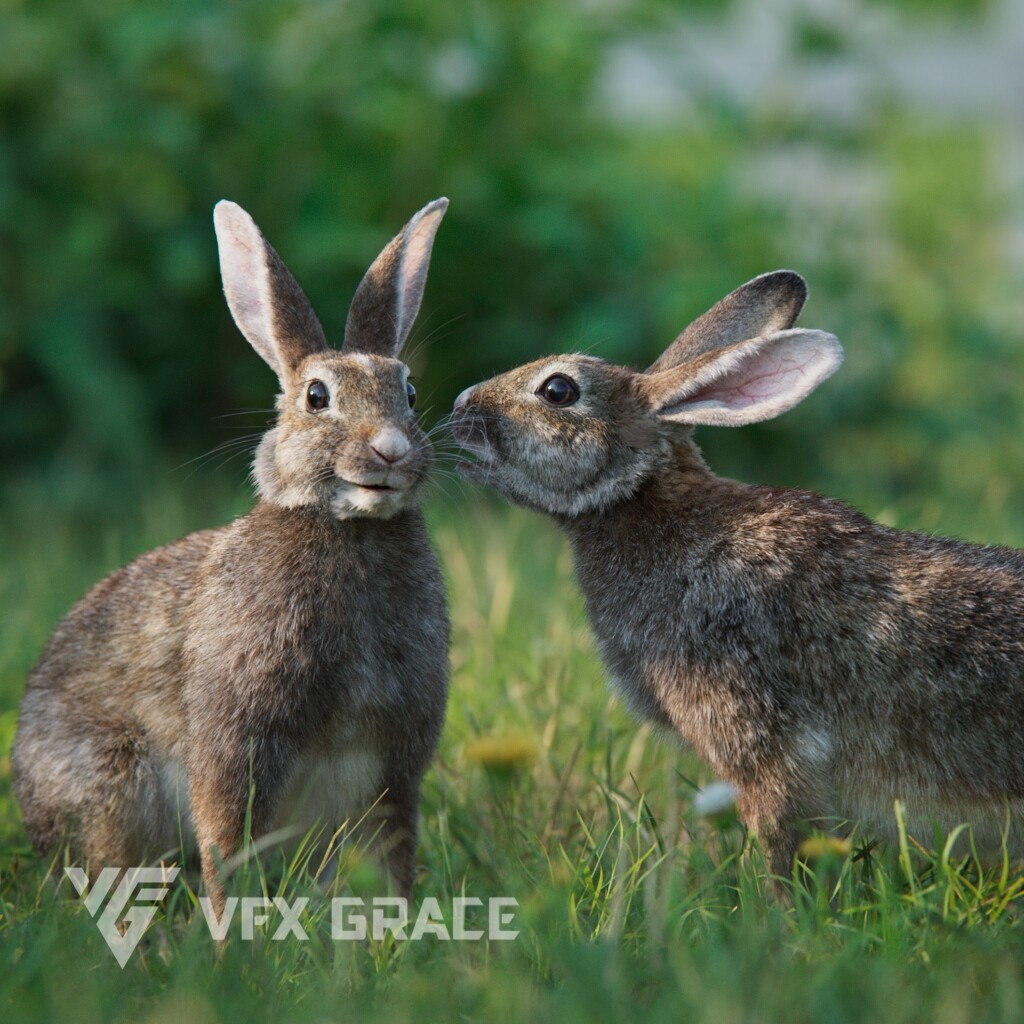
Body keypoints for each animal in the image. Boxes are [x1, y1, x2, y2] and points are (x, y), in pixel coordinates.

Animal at [12, 197, 451, 916]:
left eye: (409, 394)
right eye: (316, 398)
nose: (390, 449)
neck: (348, 528)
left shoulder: (391, 765)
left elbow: (391, 846)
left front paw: (392, 923)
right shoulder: (236, 736)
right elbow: (225, 834)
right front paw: (231, 929)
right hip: (113, 782)